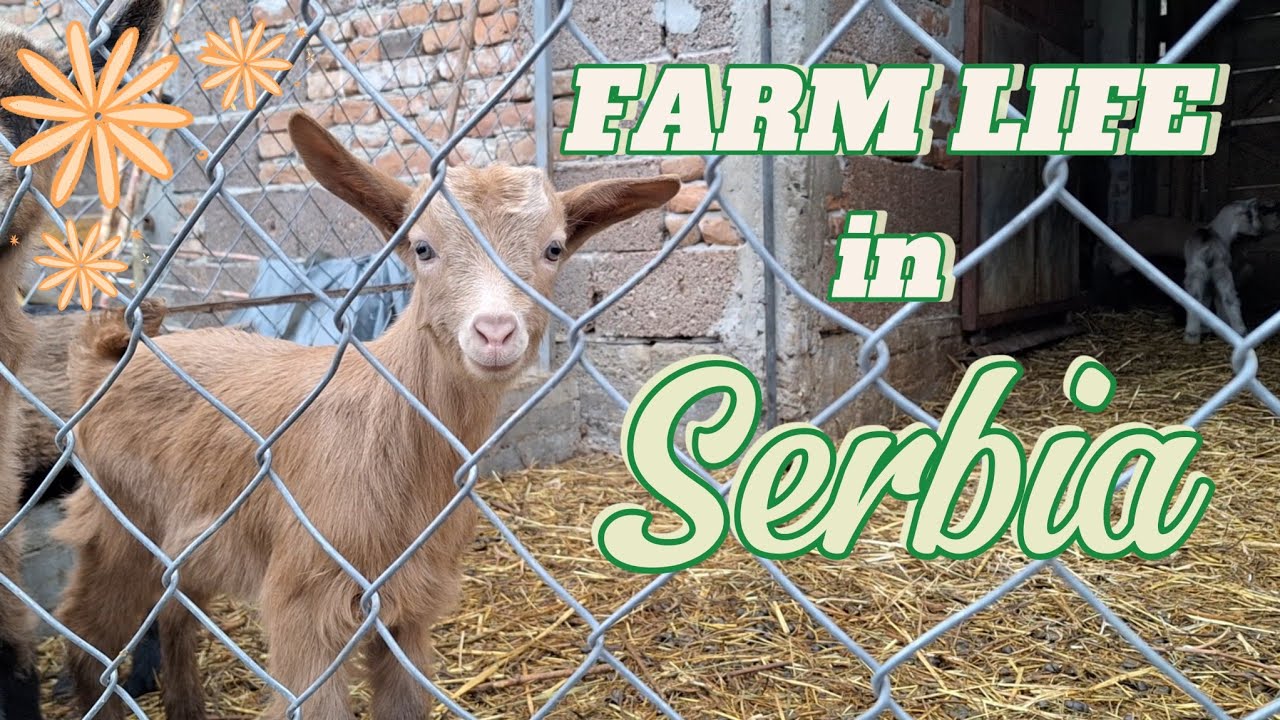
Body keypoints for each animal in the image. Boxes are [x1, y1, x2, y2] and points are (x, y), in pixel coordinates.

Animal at [55, 111, 681, 720]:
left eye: (553, 249)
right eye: (422, 249)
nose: (495, 332)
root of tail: (104, 359)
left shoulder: (410, 605)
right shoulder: (303, 608)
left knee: (176, 615)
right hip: (119, 524)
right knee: (88, 629)